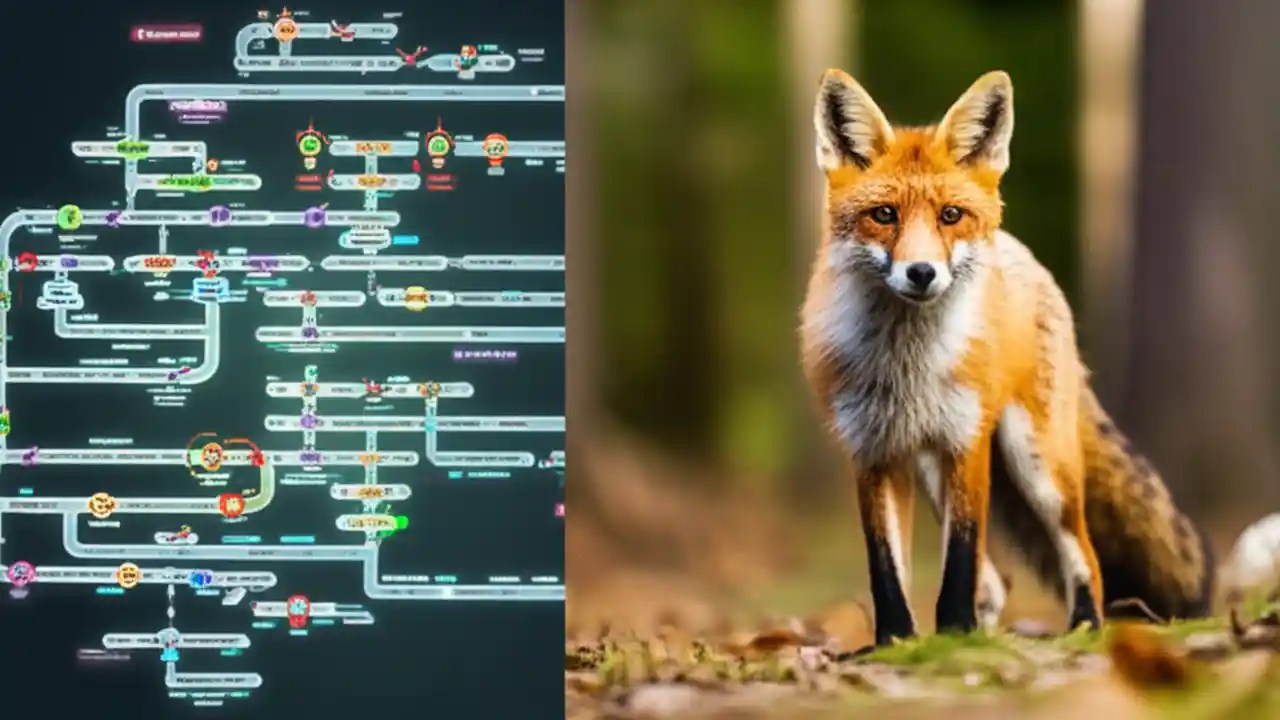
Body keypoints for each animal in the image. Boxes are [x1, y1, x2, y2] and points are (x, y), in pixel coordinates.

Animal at [800, 69, 1214, 645]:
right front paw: (898, 642)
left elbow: (961, 558)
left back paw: (1084, 625)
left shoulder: (966, 442)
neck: (906, 368)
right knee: (997, 583)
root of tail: (1025, 256)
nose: (922, 272)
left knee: (1083, 555)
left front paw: (954, 633)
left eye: (951, 216)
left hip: (1039, 467)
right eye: (884, 215)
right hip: (930, 472)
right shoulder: (871, 453)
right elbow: (887, 570)